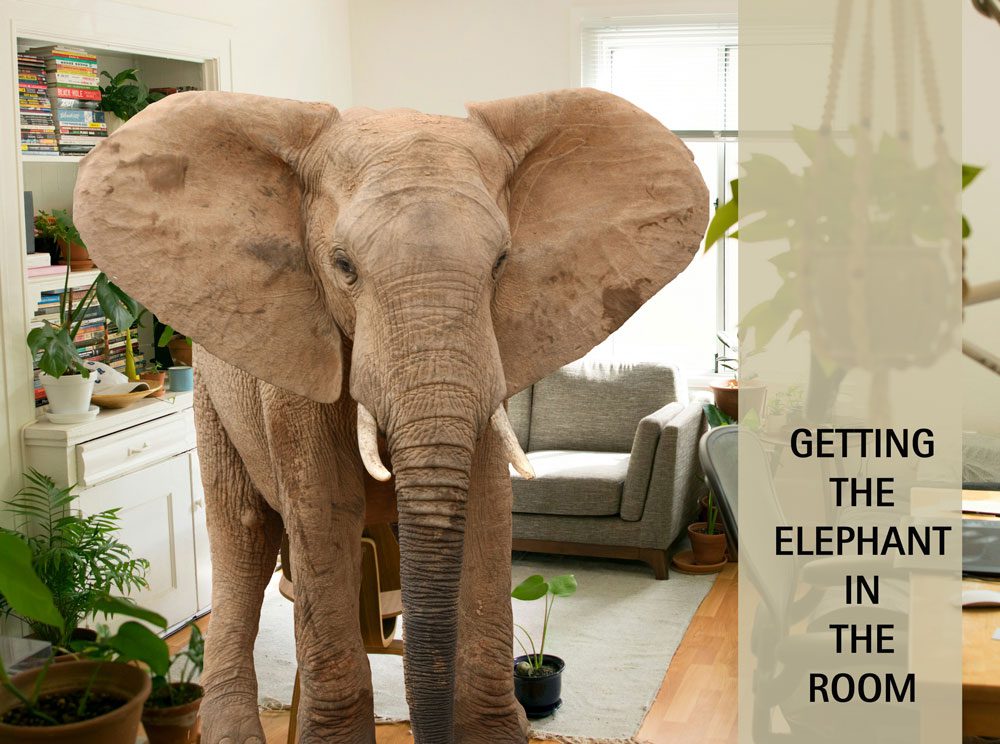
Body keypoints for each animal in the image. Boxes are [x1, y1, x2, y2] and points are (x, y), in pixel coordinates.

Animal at [73, 88, 708, 743]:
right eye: (343, 265)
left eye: (501, 262)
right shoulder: (298, 369)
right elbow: (324, 515)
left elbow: (486, 510)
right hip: (210, 395)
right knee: (241, 539)